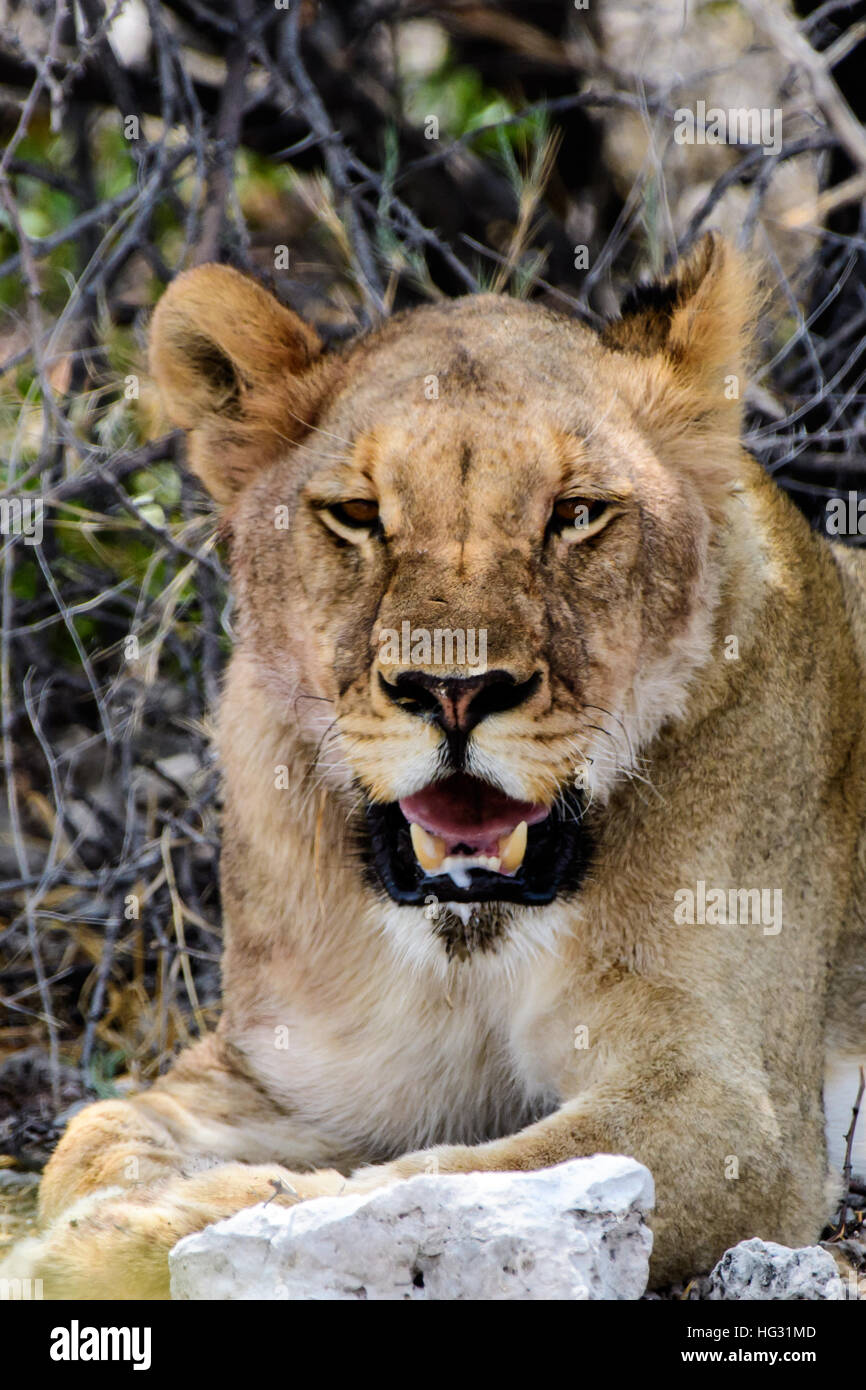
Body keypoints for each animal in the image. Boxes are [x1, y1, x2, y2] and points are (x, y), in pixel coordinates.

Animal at [6, 232, 866, 1299]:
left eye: (577, 513)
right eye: (356, 514)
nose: (454, 692)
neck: (468, 947)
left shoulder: (736, 1106)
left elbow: (426, 1186)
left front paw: (129, 1239)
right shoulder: (296, 1072)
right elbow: (96, 1129)